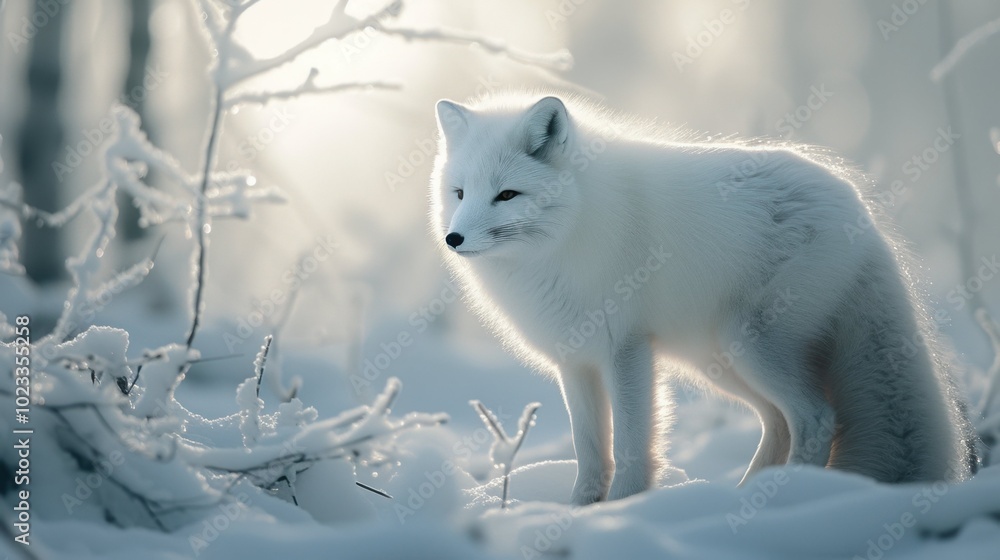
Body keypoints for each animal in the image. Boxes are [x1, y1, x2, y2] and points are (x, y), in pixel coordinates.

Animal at [429, 91, 977, 505]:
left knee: (815, 418)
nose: (453, 239)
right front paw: (579, 513)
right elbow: (590, 452)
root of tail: (860, 210)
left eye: (507, 195)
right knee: (778, 423)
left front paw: (625, 508)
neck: (567, 236)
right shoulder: (575, 360)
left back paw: (783, 497)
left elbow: (632, 446)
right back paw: (743, 495)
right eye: (460, 193)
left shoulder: (625, 349)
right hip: (719, 361)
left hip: (752, 347)